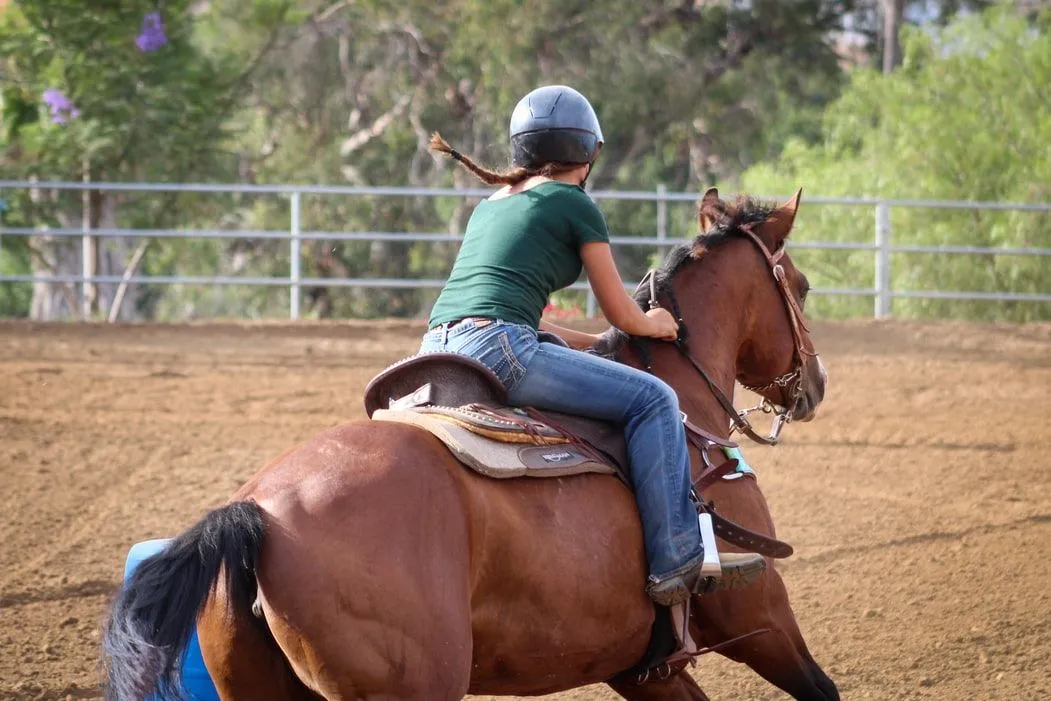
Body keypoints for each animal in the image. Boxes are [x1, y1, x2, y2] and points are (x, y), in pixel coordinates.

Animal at [102, 188, 832, 701]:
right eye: (799, 286)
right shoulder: (762, 619)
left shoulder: (640, 666)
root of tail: (256, 511)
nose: (815, 383)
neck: (682, 401)